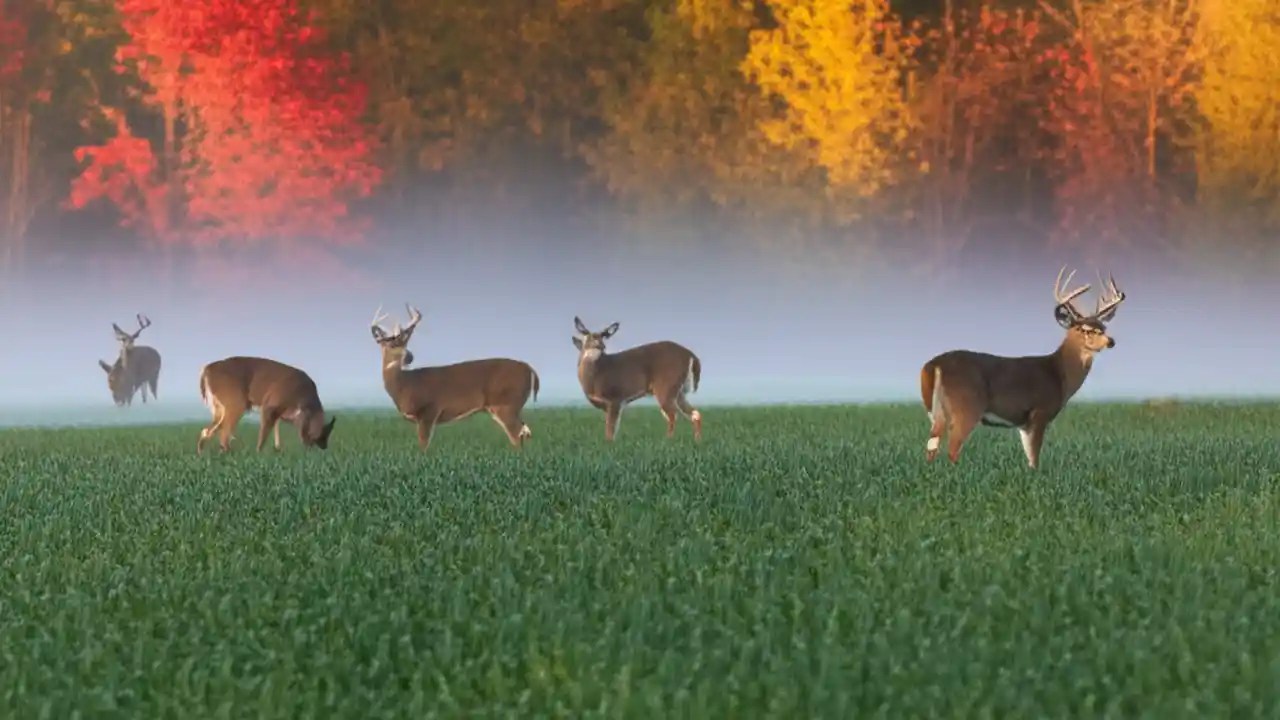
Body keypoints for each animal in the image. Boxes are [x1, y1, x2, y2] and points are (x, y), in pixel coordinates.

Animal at [196, 356, 336, 455]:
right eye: (320, 434)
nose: (324, 447)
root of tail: (207, 369)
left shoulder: (279, 412)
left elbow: (275, 429)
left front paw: (277, 450)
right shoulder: (269, 406)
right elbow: (264, 432)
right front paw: (259, 452)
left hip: (220, 408)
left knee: (208, 430)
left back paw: (202, 452)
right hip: (236, 404)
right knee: (223, 432)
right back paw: (226, 452)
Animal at [370, 304, 540, 451]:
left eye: (406, 343)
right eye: (392, 345)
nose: (409, 357)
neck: (405, 385)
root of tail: (530, 368)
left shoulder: (430, 410)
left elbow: (423, 445)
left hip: (506, 404)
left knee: (517, 436)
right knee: (526, 432)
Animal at [572, 317, 702, 441]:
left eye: (602, 338)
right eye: (588, 339)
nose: (602, 346)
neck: (596, 378)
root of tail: (691, 355)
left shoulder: (615, 399)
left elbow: (610, 430)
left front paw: (609, 444)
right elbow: (610, 428)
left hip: (666, 386)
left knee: (673, 415)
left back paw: (667, 440)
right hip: (679, 391)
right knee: (695, 413)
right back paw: (697, 440)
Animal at [920, 266, 1126, 469]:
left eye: (1103, 328)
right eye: (1084, 329)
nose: (1111, 341)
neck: (1059, 374)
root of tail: (934, 364)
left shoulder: (1023, 424)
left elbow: (1029, 457)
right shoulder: (1039, 411)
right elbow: (1034, 458)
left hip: (936, 411)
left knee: (932, 446)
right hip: (967, 406)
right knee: (952, 449)